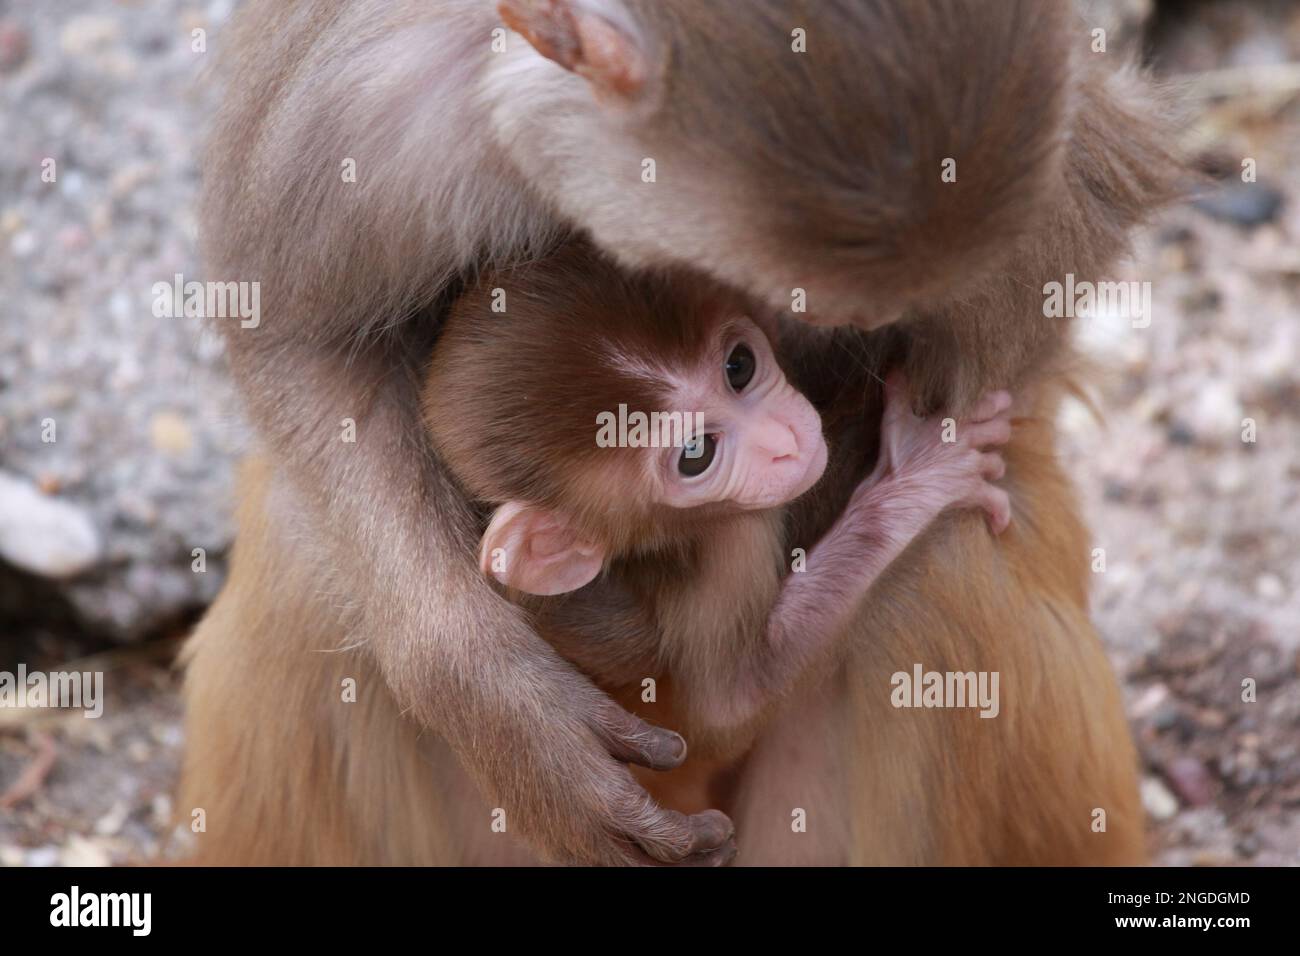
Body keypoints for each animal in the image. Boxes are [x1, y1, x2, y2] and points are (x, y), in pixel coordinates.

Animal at [420, 245, 1013, 762]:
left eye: (739, 366)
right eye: (695, 454)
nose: (786, 442)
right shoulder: (730, 545)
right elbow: (731, 704)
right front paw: (922, 478)